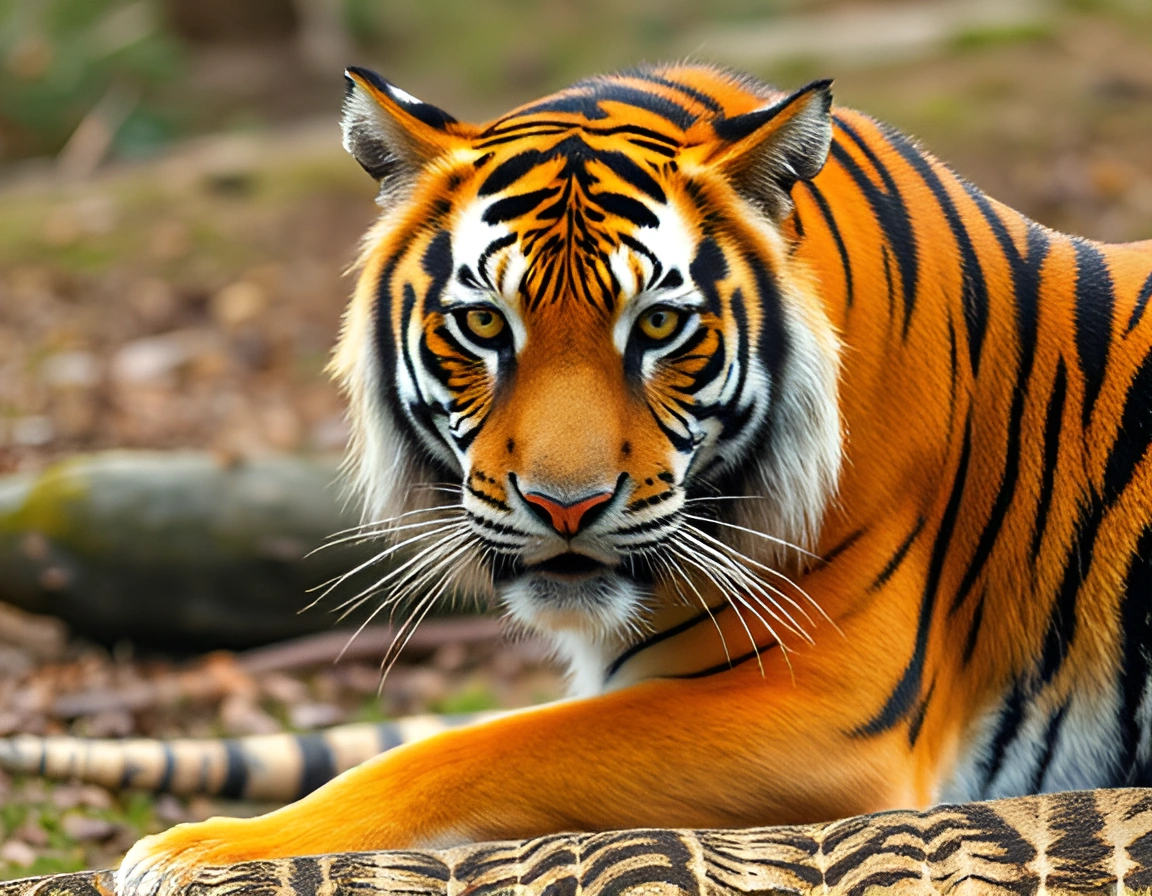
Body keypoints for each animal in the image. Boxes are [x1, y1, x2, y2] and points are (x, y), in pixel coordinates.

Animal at [94, 62, 1152, 894]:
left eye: (659, 326)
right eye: (486, 324)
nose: (565, 508)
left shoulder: (832, 714)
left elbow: (467, 747)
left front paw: (200, 852)